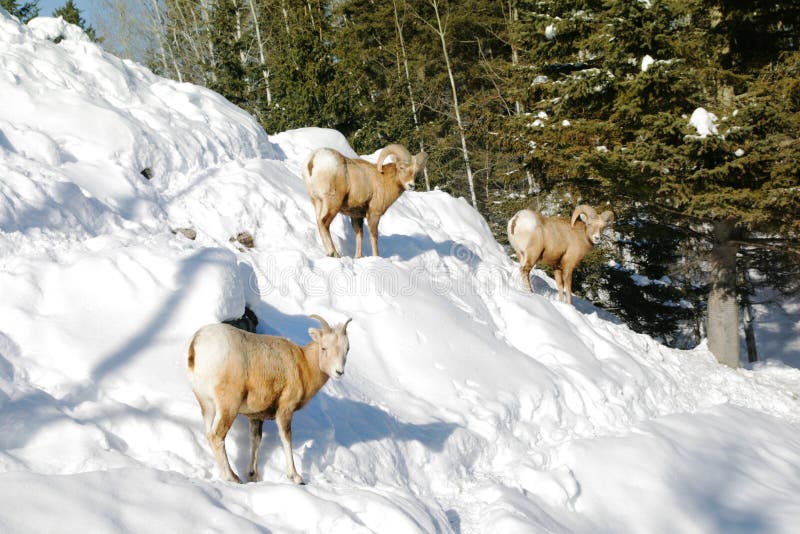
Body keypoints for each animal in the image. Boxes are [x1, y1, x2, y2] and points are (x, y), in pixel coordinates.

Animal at [187, 314, 351, 484]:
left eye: (347, 349)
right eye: (324, 348)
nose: (339, 372)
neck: (303, 365)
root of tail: (197, 344)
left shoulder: (256, 416)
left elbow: (256, 440)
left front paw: (253, 476)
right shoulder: (285, 410)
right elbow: (286, 440)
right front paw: (296, 477)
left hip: (207, 406)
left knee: (209, 434)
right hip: (228, 405)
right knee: (216, 437)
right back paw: (232, 477)